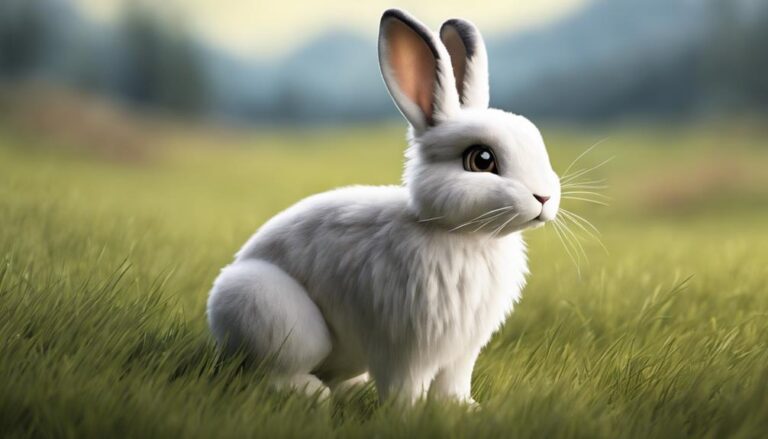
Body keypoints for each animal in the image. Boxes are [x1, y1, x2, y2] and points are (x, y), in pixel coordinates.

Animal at [207, 8, 560, 405]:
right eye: (481, 160)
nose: (544, 198)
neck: (462, 235)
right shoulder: (405, 344)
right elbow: (404, 384)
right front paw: (408, 412)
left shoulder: (461, 352)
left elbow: (453, 384)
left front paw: (462, 409)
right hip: (274, 315)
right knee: (274, 371)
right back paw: (313, 394)